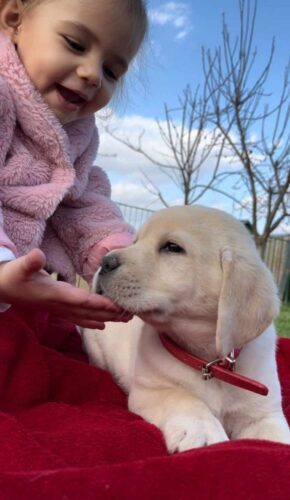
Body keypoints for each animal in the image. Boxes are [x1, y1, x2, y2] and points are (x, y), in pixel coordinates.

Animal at [82, 205, 290, 452]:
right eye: (135, 241)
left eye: (172, 247)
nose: (104, 262)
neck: (209, 362)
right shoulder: (151, 390)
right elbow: (183, 398)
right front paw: (203, 429)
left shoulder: (262, 414)